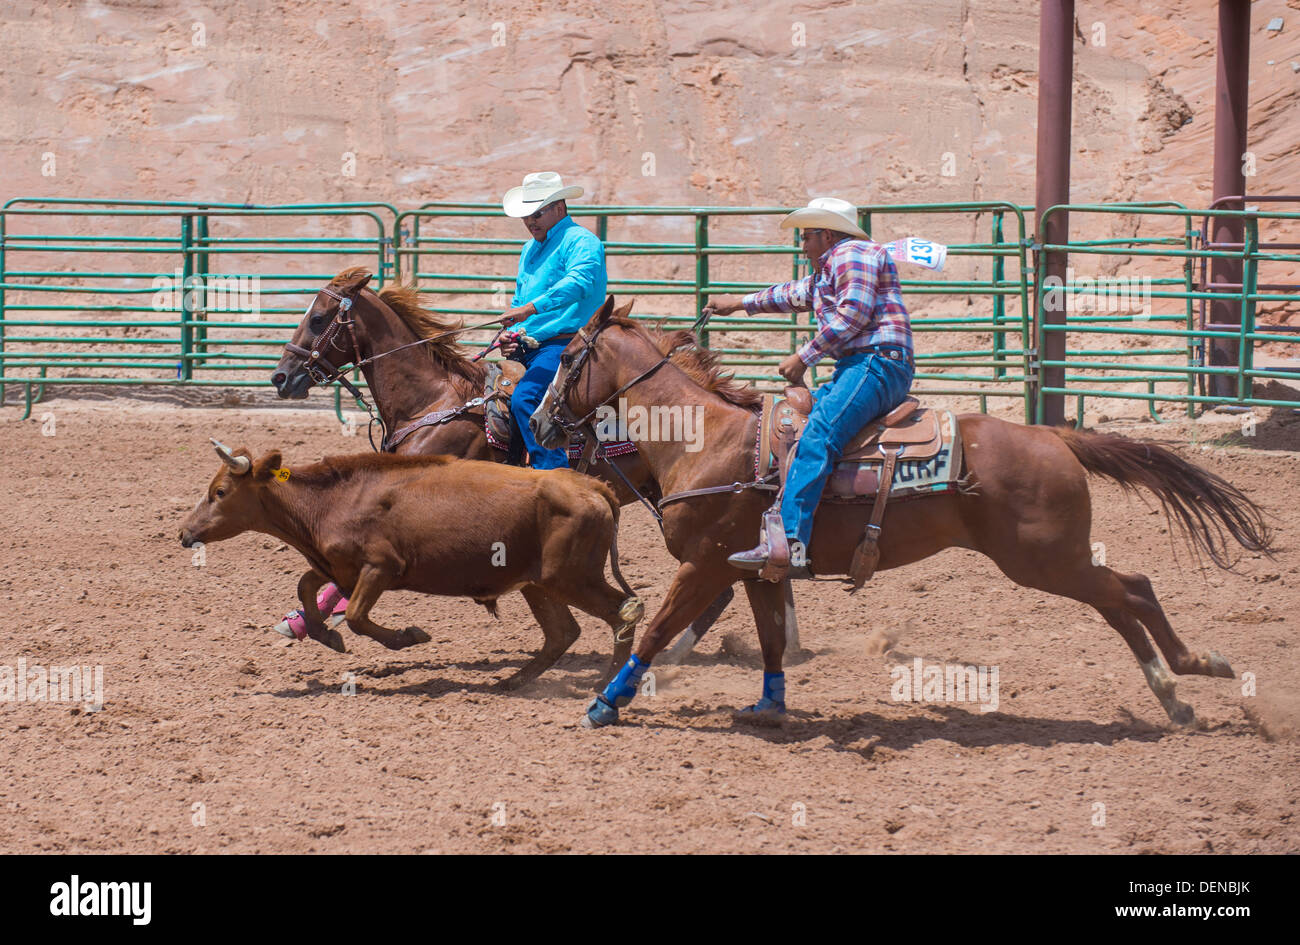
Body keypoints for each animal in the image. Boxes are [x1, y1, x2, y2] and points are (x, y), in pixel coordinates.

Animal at [531, 298, 1274, 728]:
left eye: (566, 357)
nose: (539, 422)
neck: (705, 438)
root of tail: (1052, 435)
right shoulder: (754, 569)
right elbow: (769, 640)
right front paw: (768, 705)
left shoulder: (705, 564)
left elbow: (656, 630)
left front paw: (604, 703)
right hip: (1053, 557)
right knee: (1128, 594)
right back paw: (1179, 689)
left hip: (1042, 558)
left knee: (1126, 592)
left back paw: (1188, 675)